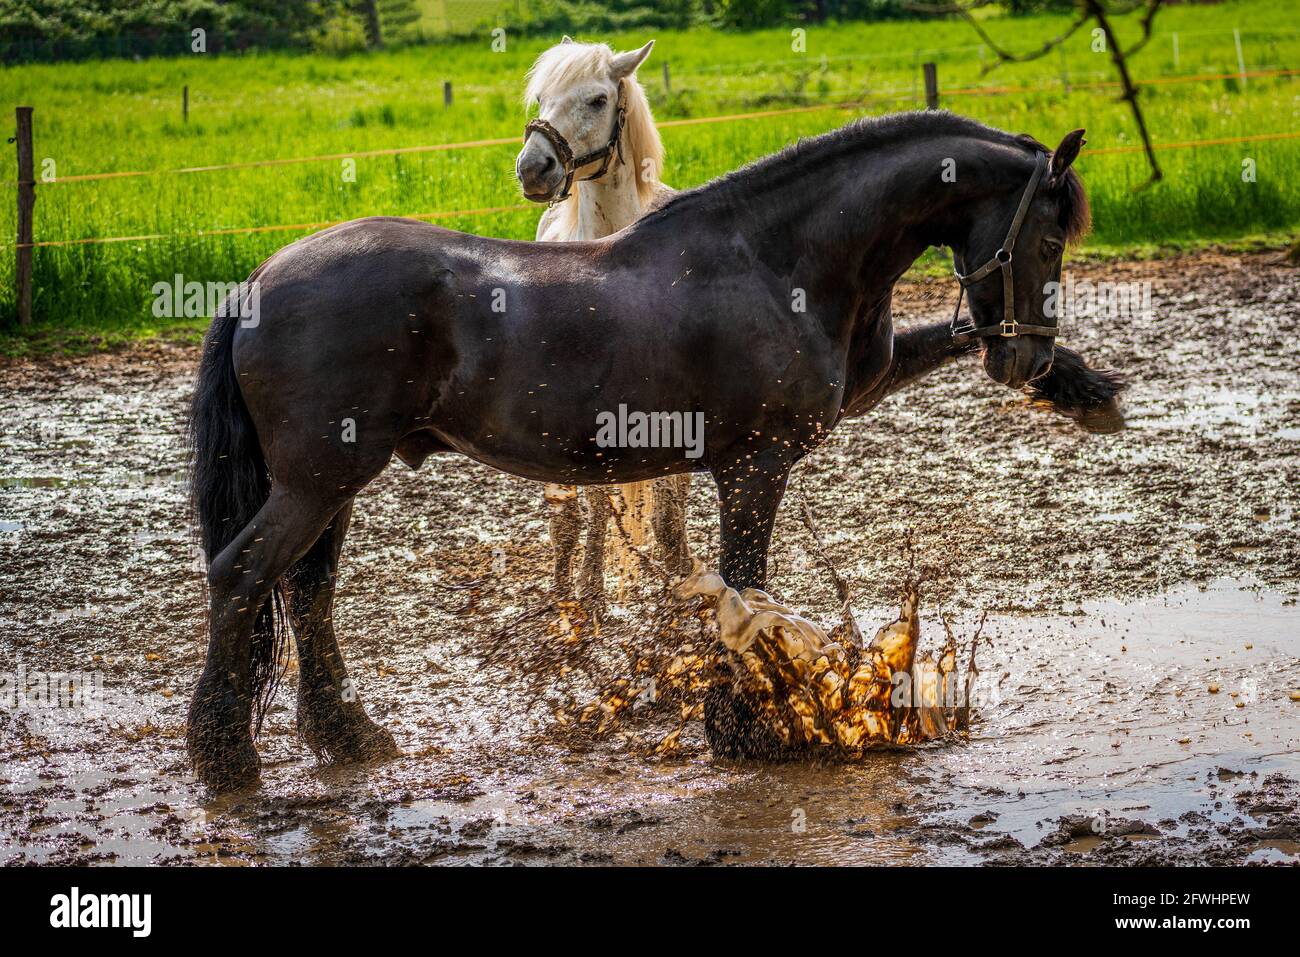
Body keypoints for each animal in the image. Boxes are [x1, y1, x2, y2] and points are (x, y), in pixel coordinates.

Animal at [186, 110, 1123, 791]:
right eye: (1049, 238)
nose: (1025, 359)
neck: (777, 260)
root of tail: (259, 281)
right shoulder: (755, 466)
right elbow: (745, 594)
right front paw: (745, 726)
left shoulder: (857, 388)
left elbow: (940, 347)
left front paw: (1086, 392)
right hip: (317, 481)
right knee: (243, 575)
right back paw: (224, 756)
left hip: (334, 482)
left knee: (307, 590)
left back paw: (344, 735)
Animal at [516, 36, 692, 602]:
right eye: (541, 97)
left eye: (597, 100)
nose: (533, 168)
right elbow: (595, 506)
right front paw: (590, 591)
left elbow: (668, 509)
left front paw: (684, 579)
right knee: (568, 516)